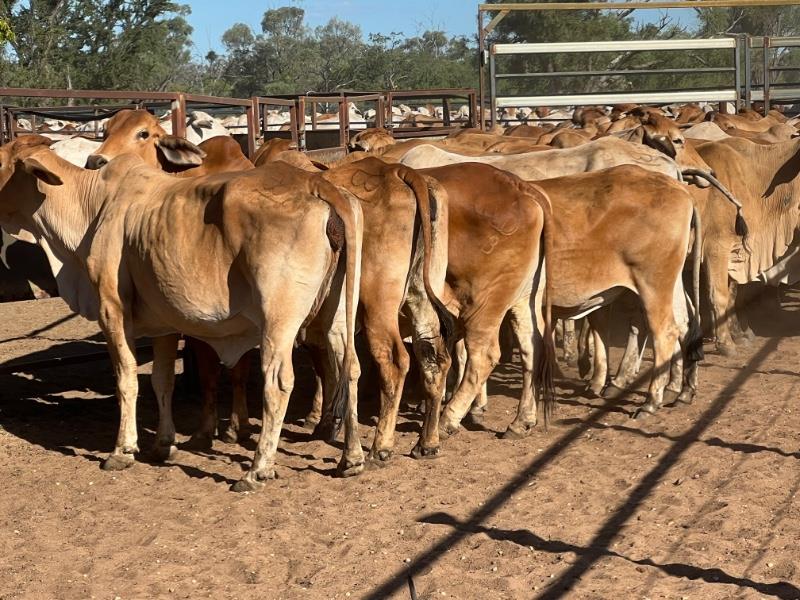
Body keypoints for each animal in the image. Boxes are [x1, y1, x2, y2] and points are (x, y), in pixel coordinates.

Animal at [0, 136, 363, 492]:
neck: (92, 205)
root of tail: (316, 183)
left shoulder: (111, 309)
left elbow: (126, 378)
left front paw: (122, 450)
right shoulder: (164, 323)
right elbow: (162, 381)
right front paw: (163, 444)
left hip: (279, 317)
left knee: (278, 381)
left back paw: (257, 469)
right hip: (336, 312)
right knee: (350, 368)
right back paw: (352, 458)